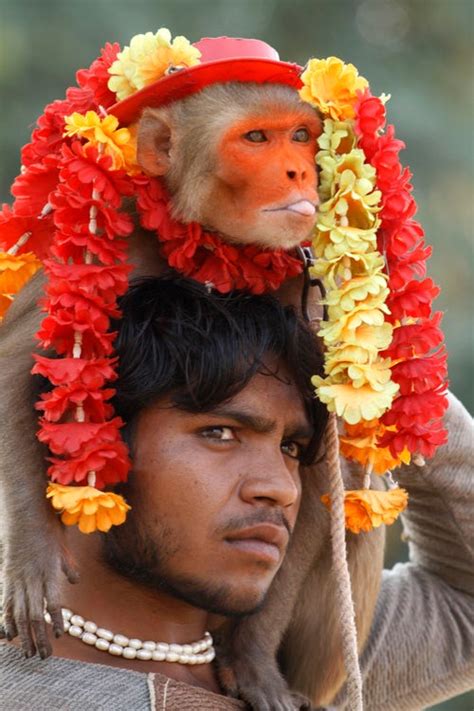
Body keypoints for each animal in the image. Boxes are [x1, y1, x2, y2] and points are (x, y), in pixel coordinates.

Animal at [0, 81, 385, 710]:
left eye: (301, 135)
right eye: (257, 137)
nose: (300, 171)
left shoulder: (296, 286)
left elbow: (316, 467)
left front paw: (251, 658)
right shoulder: (120, 236)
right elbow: (20, 367)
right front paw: (33, 554)